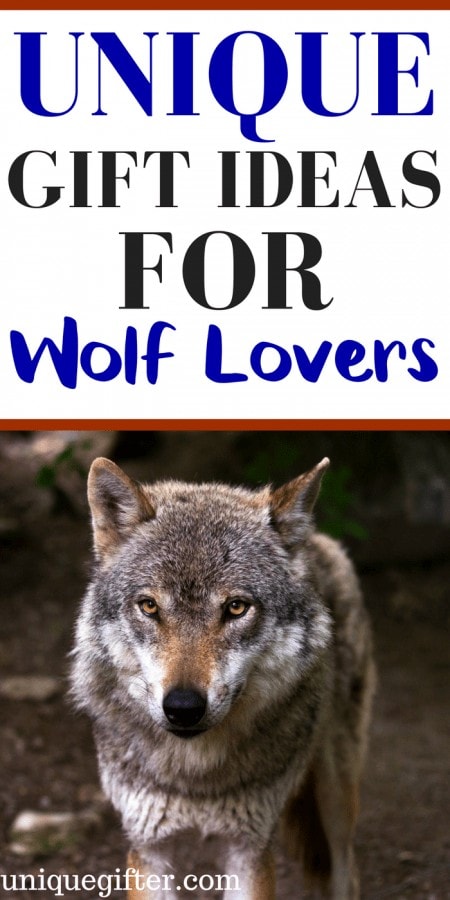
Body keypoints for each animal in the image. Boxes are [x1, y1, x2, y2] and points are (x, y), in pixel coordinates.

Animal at [71, 456, 375, 900]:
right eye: (149, 606)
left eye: (235, 608)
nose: (183, 707)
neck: (195, 776)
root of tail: (316, 541)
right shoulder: (149, 848)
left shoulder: (249, 850)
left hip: (336, 800)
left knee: (346, 870)